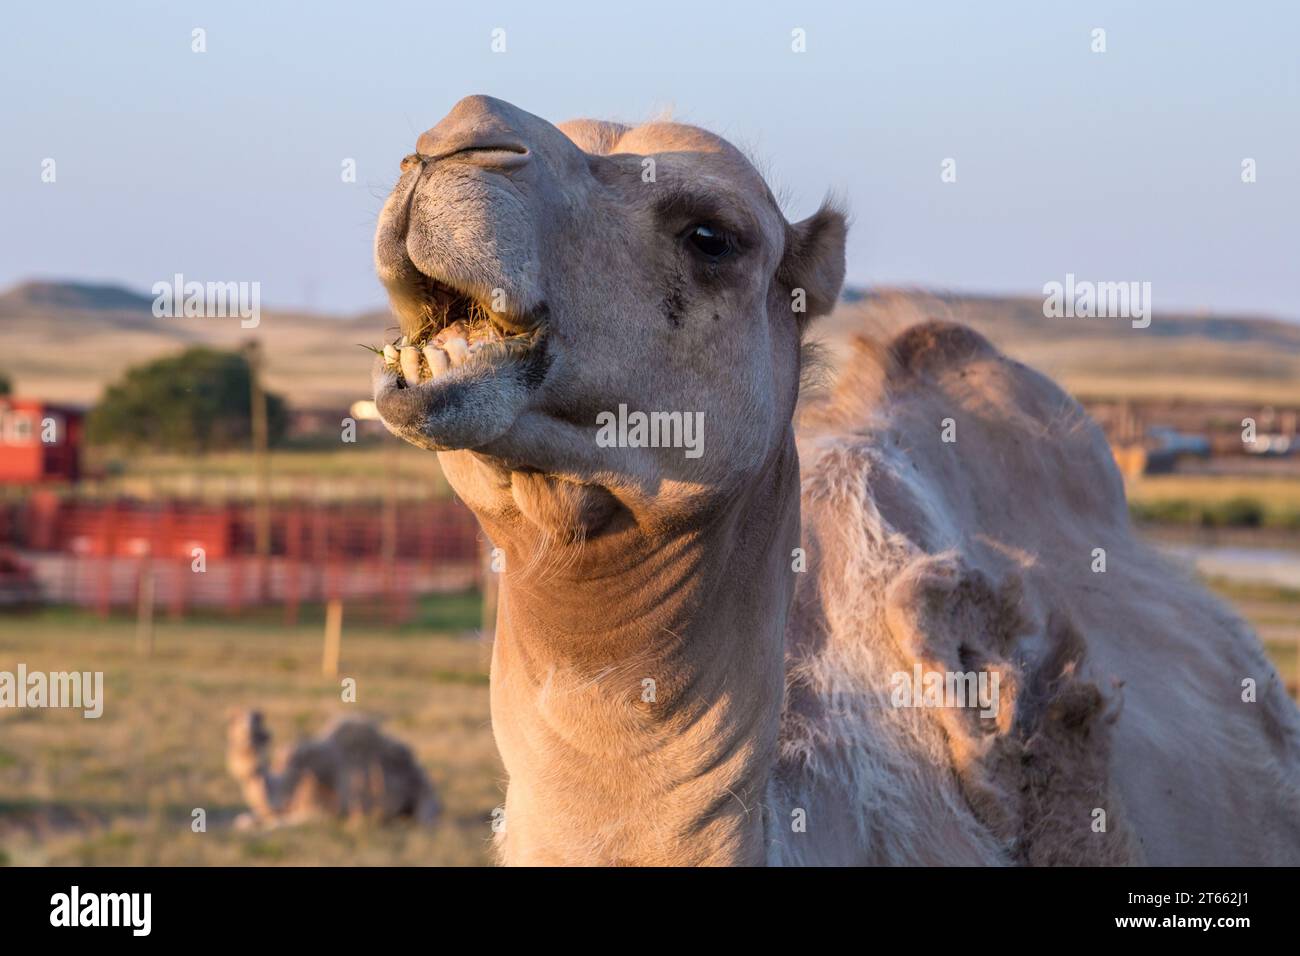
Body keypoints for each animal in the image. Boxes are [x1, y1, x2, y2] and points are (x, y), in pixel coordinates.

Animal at [225, 710, 440, 829]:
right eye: (235, 720)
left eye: (257, 720)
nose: (249, 731)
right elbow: (243, 820)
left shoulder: (320, 813)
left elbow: (279, 824)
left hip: (426, 799)